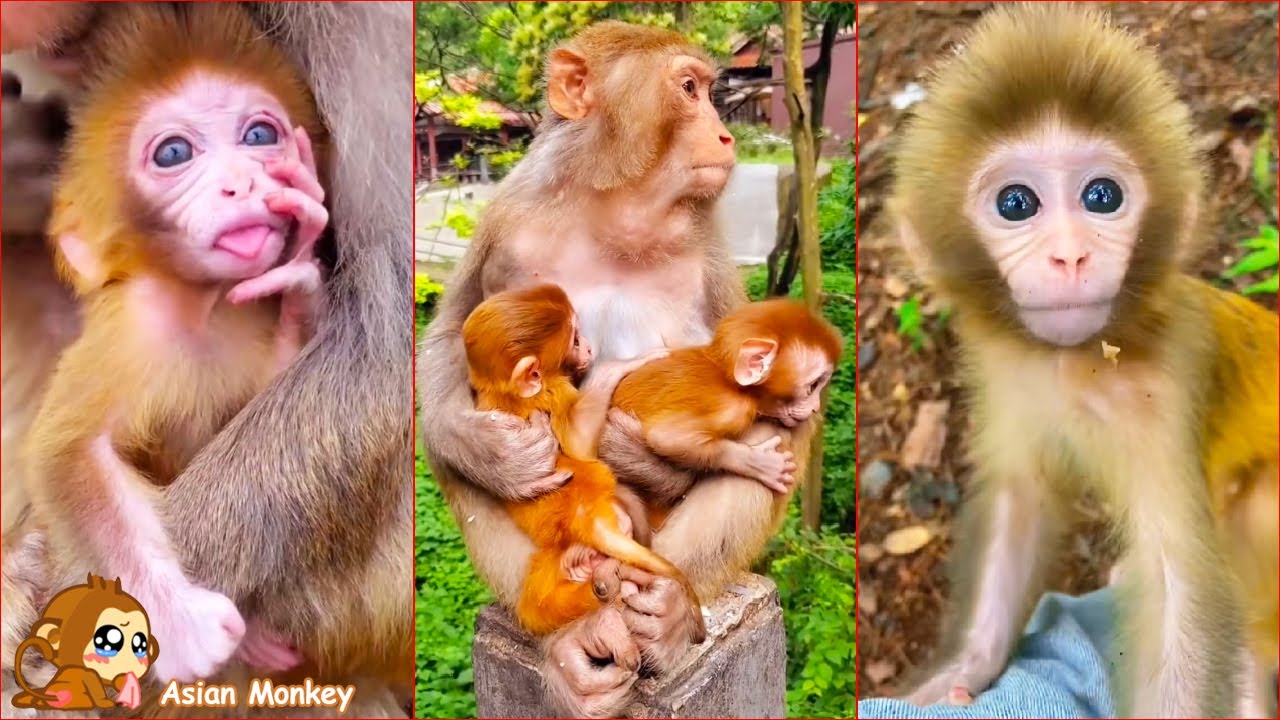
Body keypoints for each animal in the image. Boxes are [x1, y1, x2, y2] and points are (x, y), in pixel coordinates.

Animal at [461, 283, 707, 639]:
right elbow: (577, 444)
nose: (589, 347)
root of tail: (589, 518)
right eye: (575, 340)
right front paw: (613, 369)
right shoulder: (555, 390)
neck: (504, 393)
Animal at [612, 298, 844, 511]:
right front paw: (758, 462)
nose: (814, 407)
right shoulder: (732, 408)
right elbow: (667, 437)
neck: (728, 379)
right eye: (813, 387)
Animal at [885, 4, 1278, 717]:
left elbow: (1179, 580)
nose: (1070, 255)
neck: (1075, 364)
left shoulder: (1175, 374)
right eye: (1016, 203)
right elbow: (1022, 496)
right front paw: (957, 671)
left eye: (1102, 196)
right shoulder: (1008, 372)